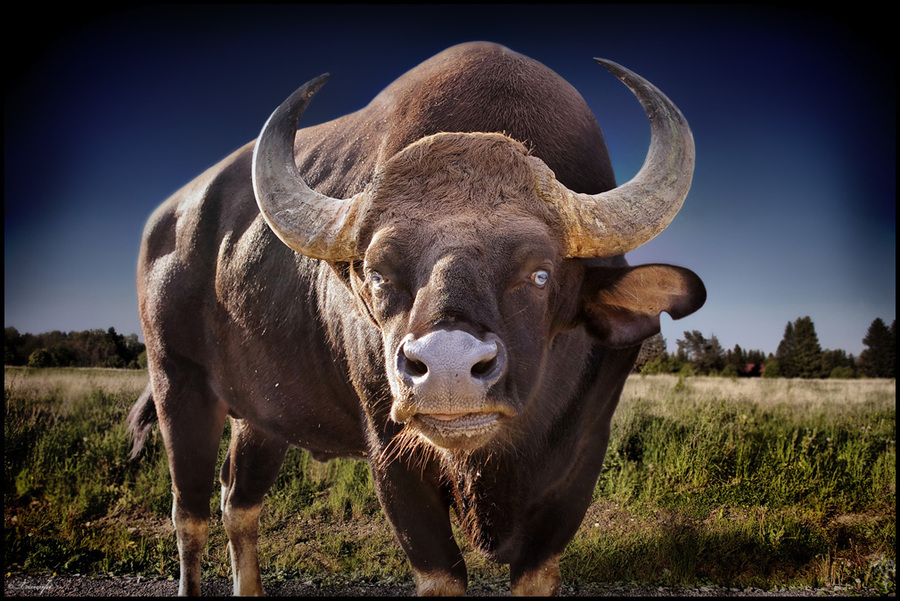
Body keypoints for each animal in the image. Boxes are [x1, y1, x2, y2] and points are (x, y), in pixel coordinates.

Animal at [128, 41, 705, 596]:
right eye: (378, 273)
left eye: (540, 273)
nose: (448, 371)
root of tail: (165, 223)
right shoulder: (392, 454)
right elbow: (441, 574)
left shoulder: (581, 460)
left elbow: (538, 572)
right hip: (178, 385)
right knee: (190, 515)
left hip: (260, 418)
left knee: (238, 503)